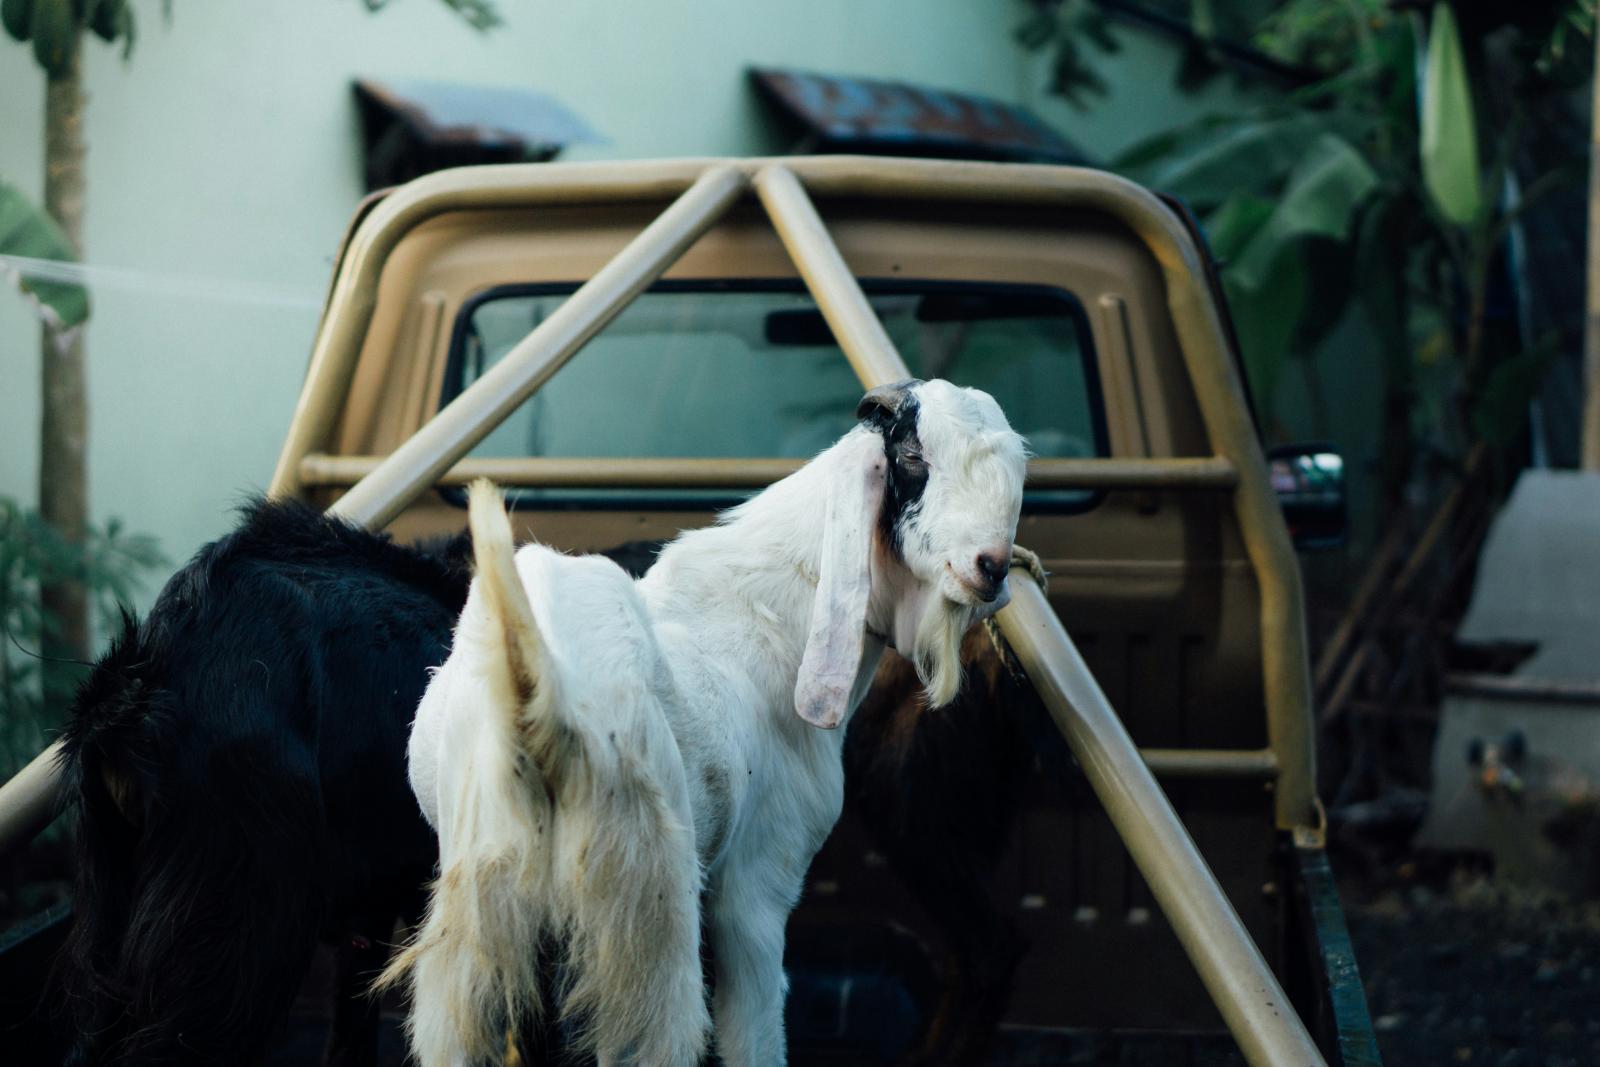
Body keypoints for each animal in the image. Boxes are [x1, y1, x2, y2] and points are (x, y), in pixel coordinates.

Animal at [383, 378, 1029, 1067]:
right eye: (912, 455)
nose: (990, 567)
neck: (772, 616)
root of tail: (541, 692)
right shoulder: (759, 885)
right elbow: (754, 1033)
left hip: (489, 924)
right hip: (647, 919)